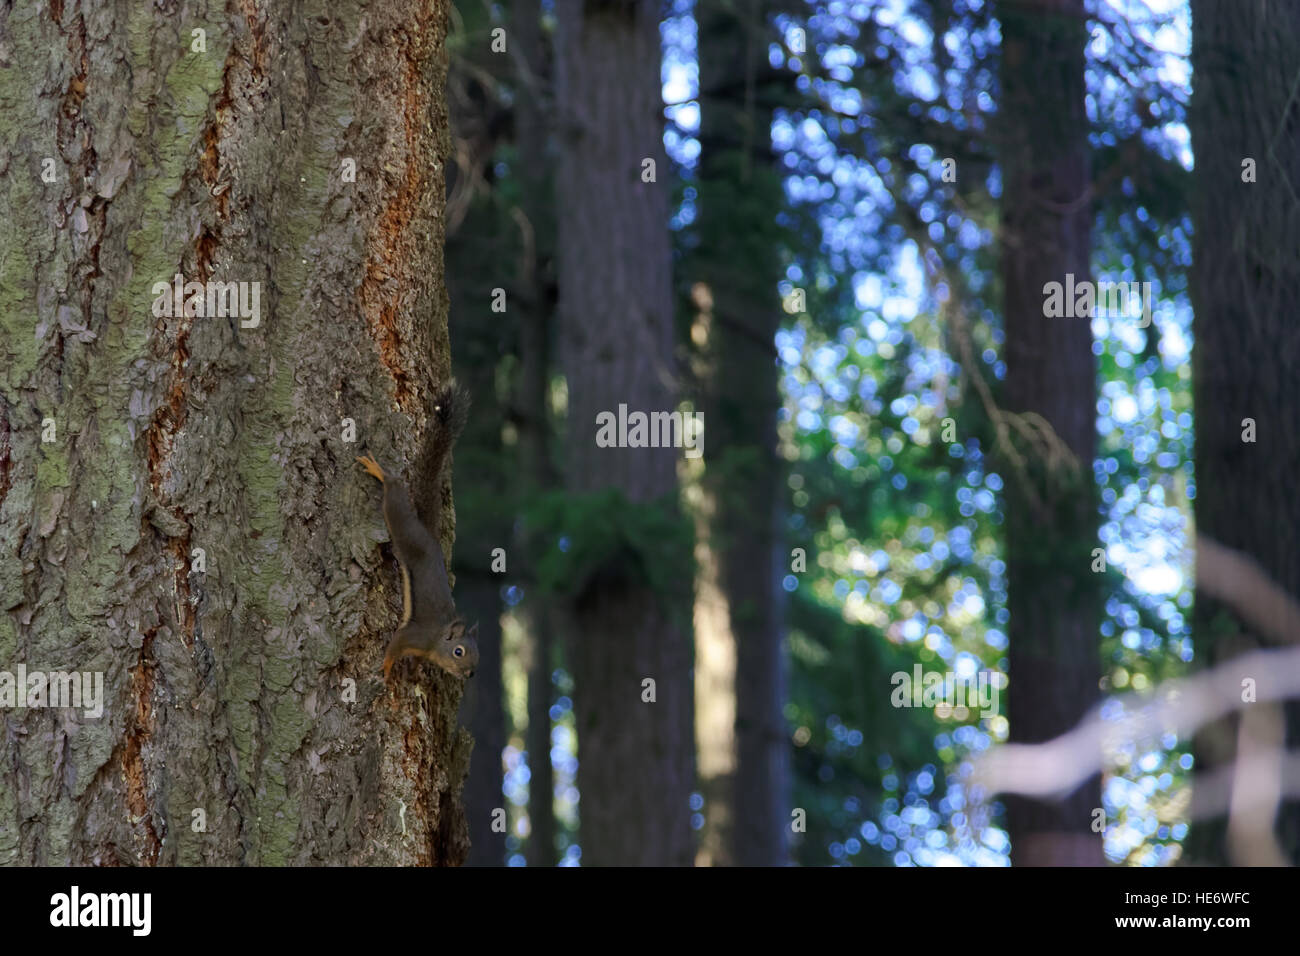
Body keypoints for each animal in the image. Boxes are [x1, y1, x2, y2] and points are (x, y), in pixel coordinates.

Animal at [356, 382, 479, 681]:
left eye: (478, 655)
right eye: (459, 652)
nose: (470, 674)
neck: (437, 642)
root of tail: (429, 536)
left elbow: (416, 660)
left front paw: (413, 670)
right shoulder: (415, 635)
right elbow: (395, 644)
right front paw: (387, 666)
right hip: (404, 527)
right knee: (394, 492)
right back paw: (380, 472)